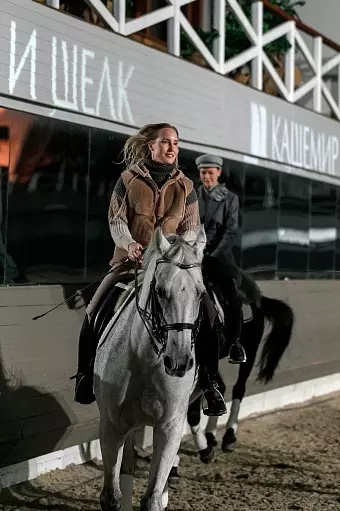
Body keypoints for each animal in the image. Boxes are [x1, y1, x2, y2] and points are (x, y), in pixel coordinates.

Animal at [93, 227, 206, 511]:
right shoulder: (111, 425)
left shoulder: (169, 426)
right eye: (161, 291)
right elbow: (111, 495)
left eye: (201, 293)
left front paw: (160, 495)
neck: (144, 359)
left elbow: (152, 498)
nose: (178, 361)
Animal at [169, 294, 294, 482]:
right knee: (220, 388)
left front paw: (201, 453)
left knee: (238, 388)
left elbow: (191, 413)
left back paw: (229, 436)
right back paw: (211, 434)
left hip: (249, 349)